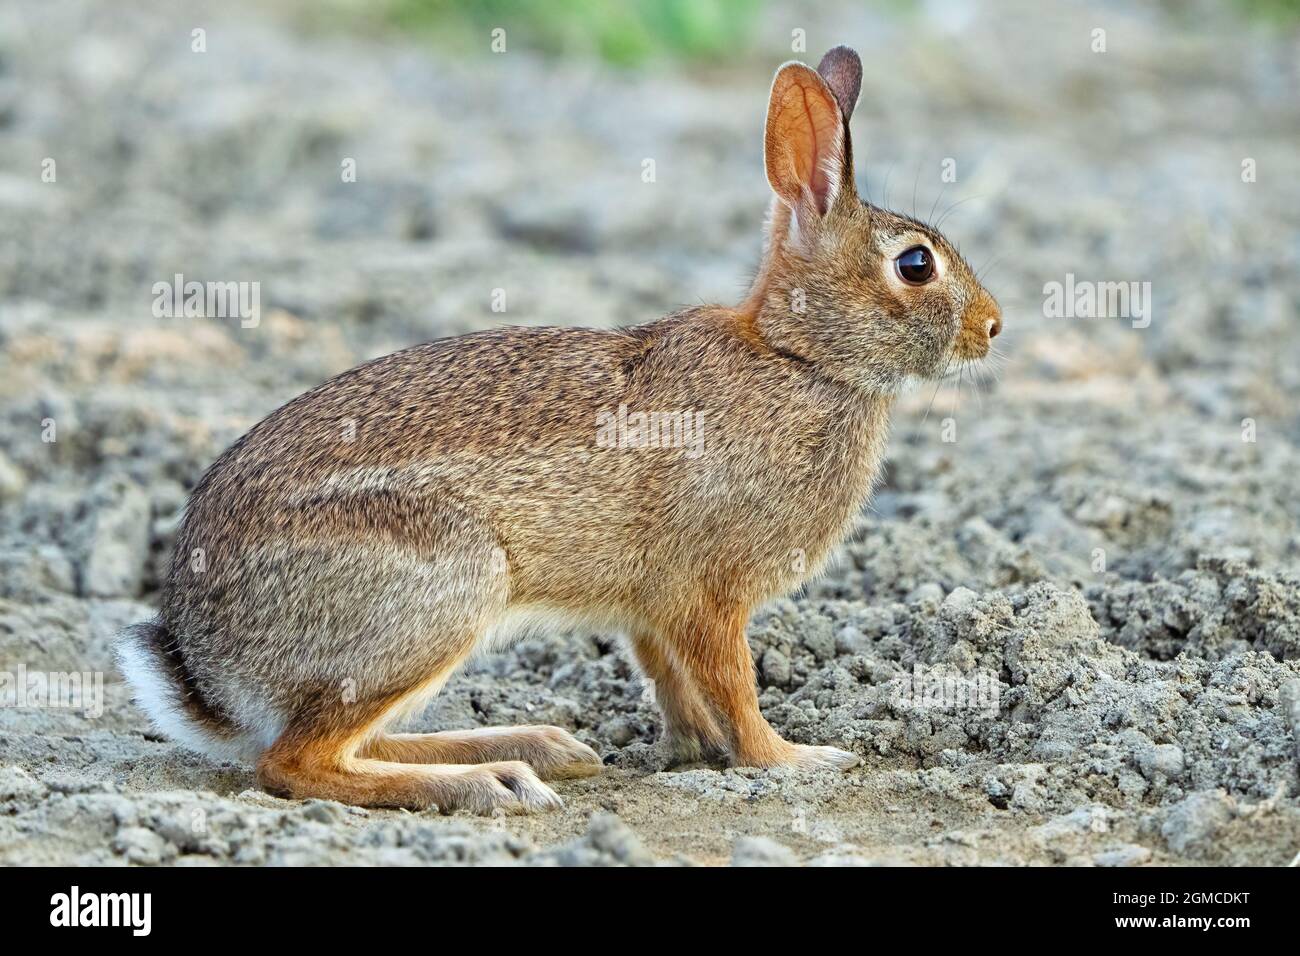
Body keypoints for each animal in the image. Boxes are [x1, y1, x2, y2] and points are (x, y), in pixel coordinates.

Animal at [117, 45, 1001, 814]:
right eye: (915, 265)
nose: (994, 328)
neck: (800, 355)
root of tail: (208, 669)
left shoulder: (653, 609)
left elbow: (674, 679)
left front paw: (694, 749)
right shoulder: (707, 592)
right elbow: (735, 685)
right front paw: (790, 758)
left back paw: (536, 747)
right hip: (446, 581)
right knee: (296, 762)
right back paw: (491, 783)